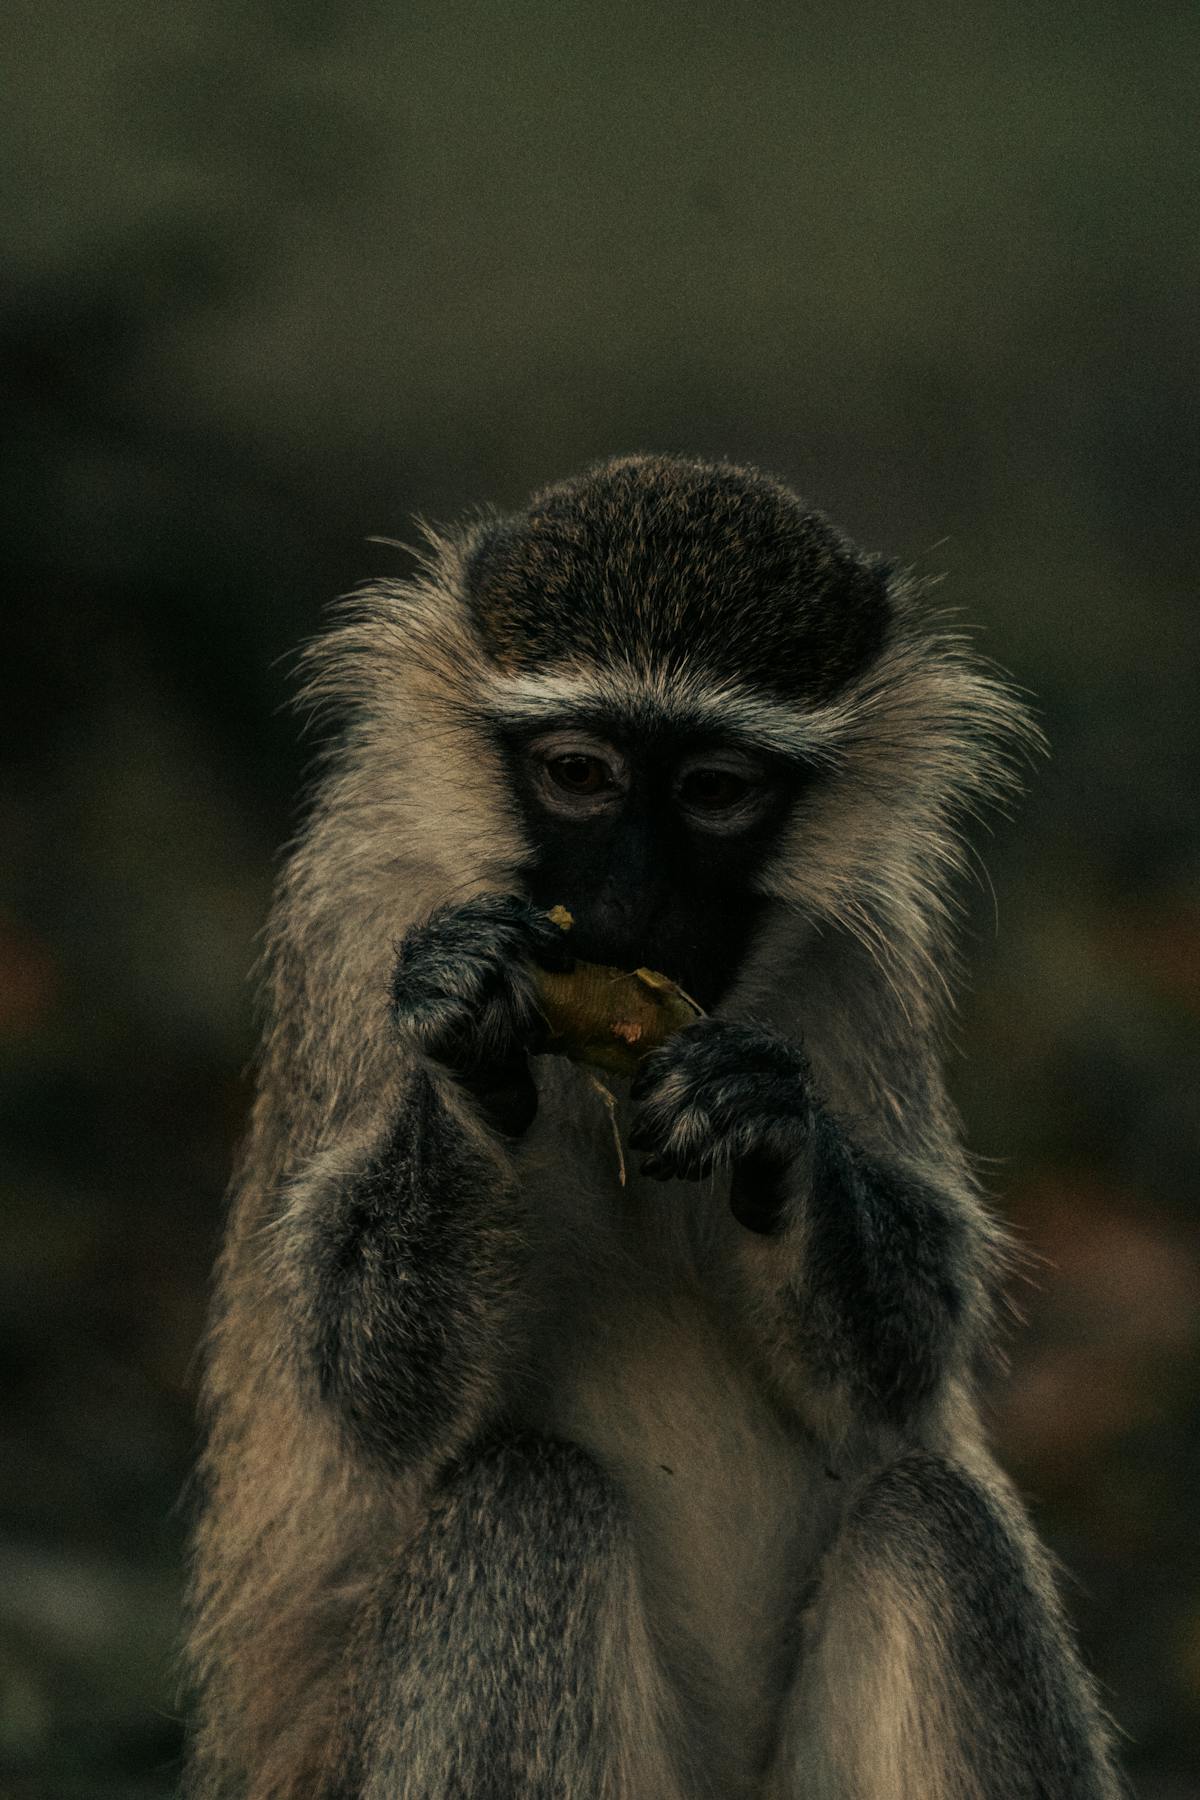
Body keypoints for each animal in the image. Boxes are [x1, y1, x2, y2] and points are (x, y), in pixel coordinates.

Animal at [185, 454, 1126, 1799]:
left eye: (714, 791)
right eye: (579, 772)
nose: (627, 906)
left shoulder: (866, 951)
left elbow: (907, 1347)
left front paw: (773, 1129)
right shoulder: (355, 915)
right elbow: (362, 1380)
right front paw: (472, 1042)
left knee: (931, 1521)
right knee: (527, 1512)